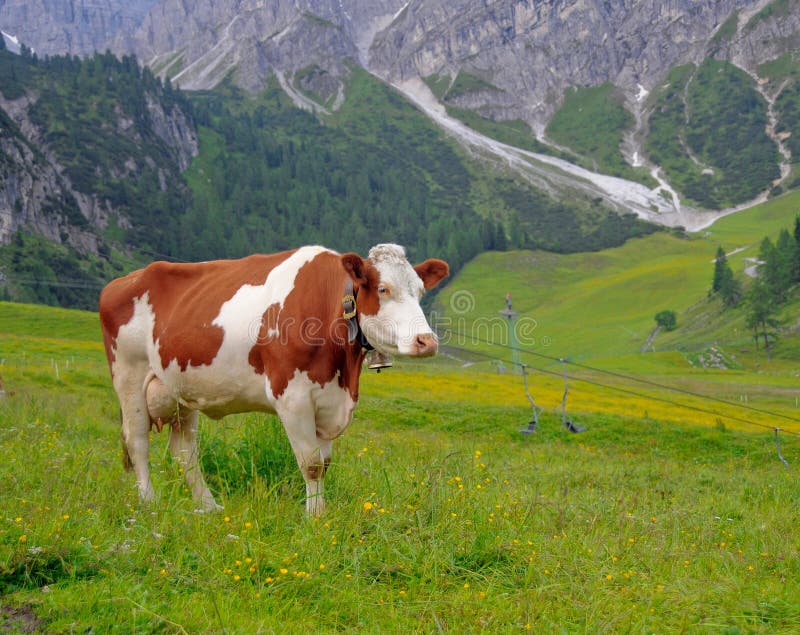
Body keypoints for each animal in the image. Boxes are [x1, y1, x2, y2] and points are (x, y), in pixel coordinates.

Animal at [99, 244, 449, 515]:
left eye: (420, 291)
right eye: (383, 289)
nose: (426, 341)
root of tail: (123, 280)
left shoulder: (329, 400)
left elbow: (325, 462)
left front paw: (321, 513)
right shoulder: (292, 396)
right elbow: (311, 464)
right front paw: (315, 519)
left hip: (179, 390)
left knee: (185, 451)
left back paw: (208, 506)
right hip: (128, 376)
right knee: (138, 441)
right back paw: (149, 502)